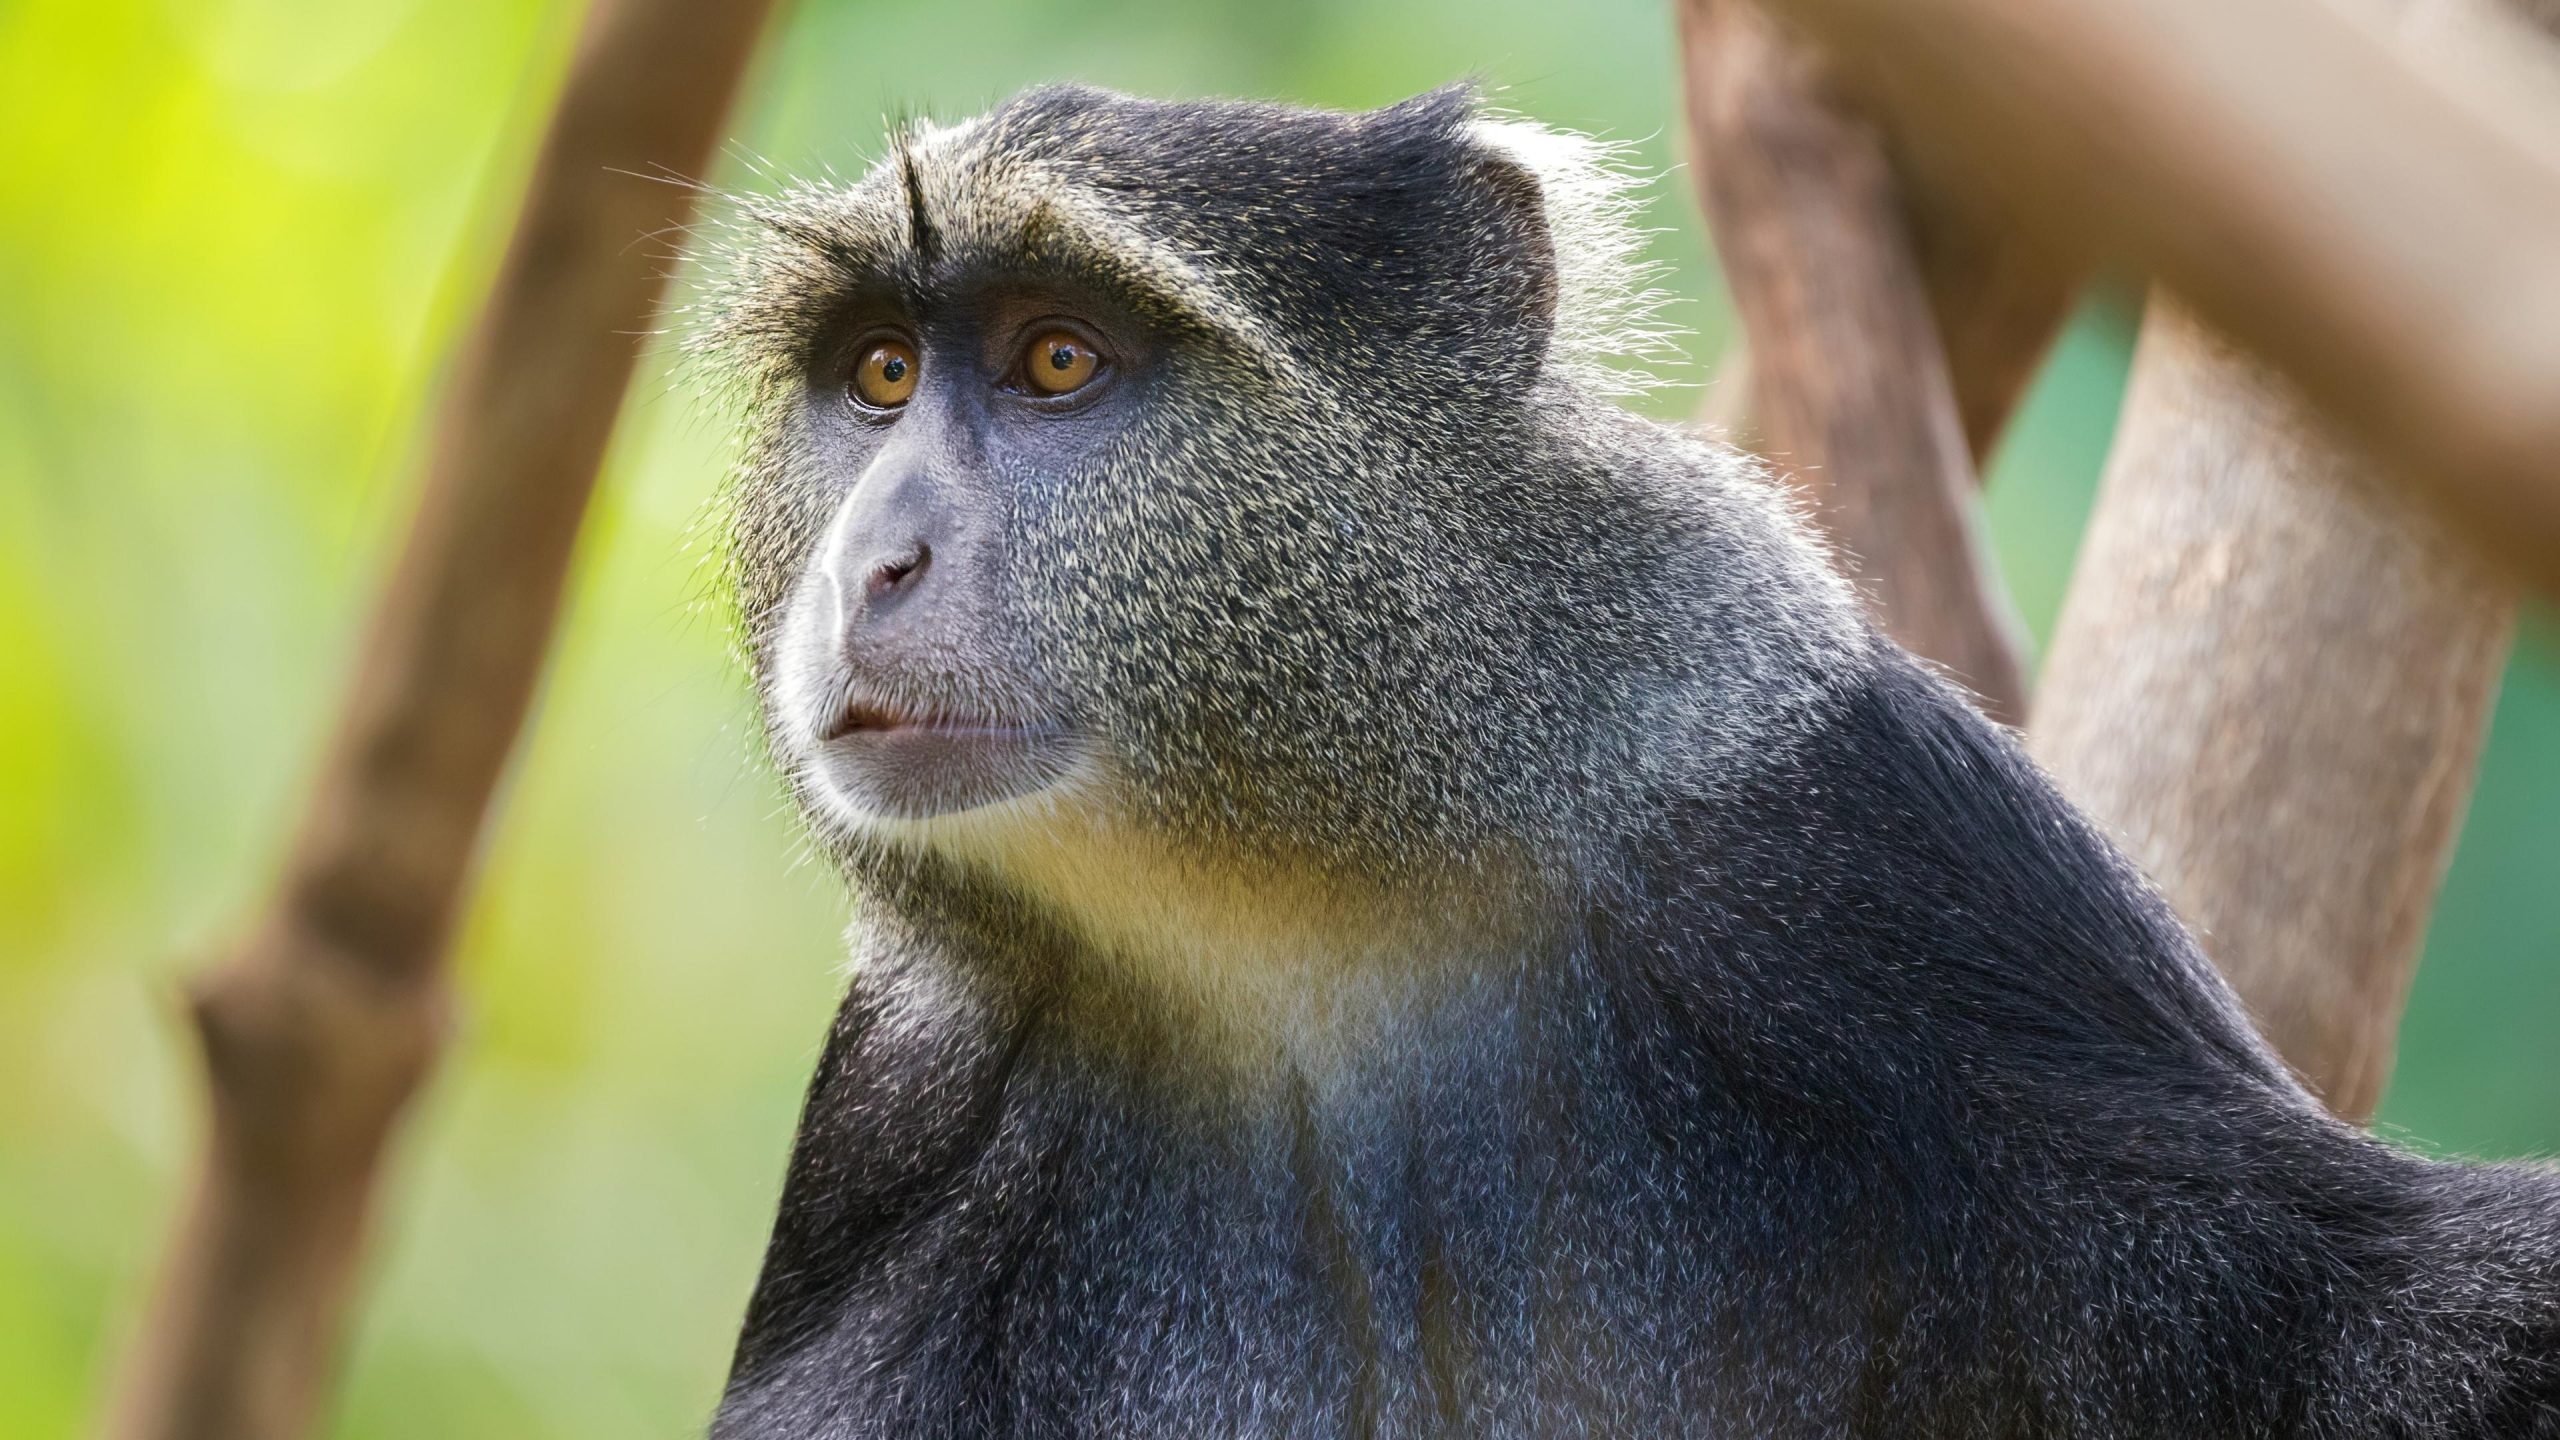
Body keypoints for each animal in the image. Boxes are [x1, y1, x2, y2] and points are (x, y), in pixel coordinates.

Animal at [686, 84, 2560, 1438]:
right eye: (877, 375)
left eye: (1057, 359)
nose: (873, 564)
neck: (1305, 906)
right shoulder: (907, 1113)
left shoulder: (1860, 853)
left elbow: (2398, 1315)